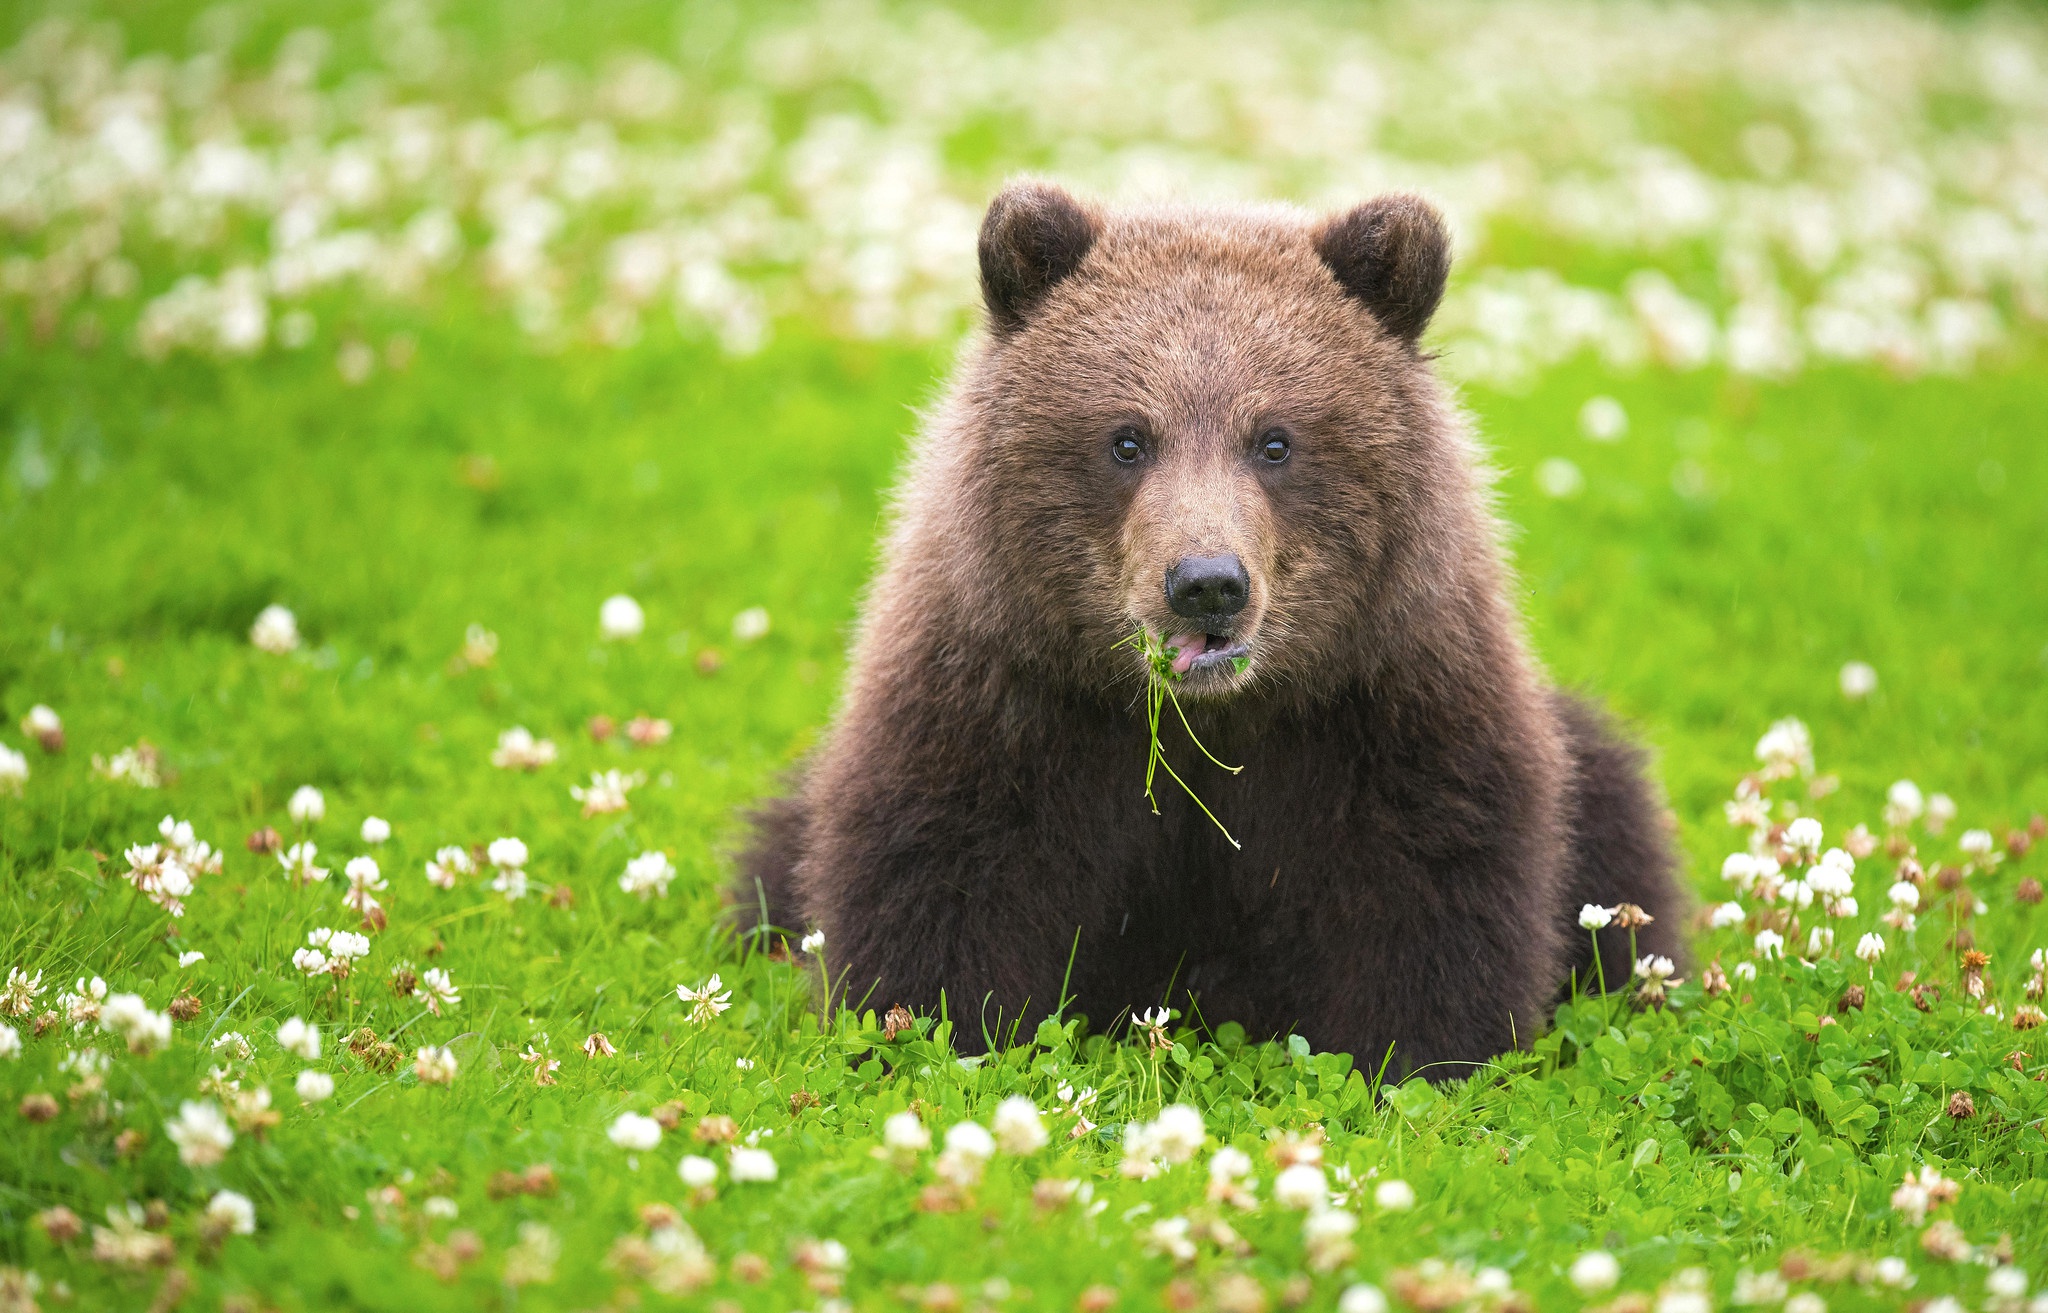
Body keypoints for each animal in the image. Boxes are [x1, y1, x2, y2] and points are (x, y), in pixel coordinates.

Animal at [733, 181, 1686, 1080]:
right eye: (1126, 438)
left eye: (1275, 440)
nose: (1206, 584)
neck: (1212, 720)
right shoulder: (1010, 697)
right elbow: (943, 865)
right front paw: (933, 1029)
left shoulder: (1383, 704)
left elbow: (1428, 876)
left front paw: (1416, 1053)